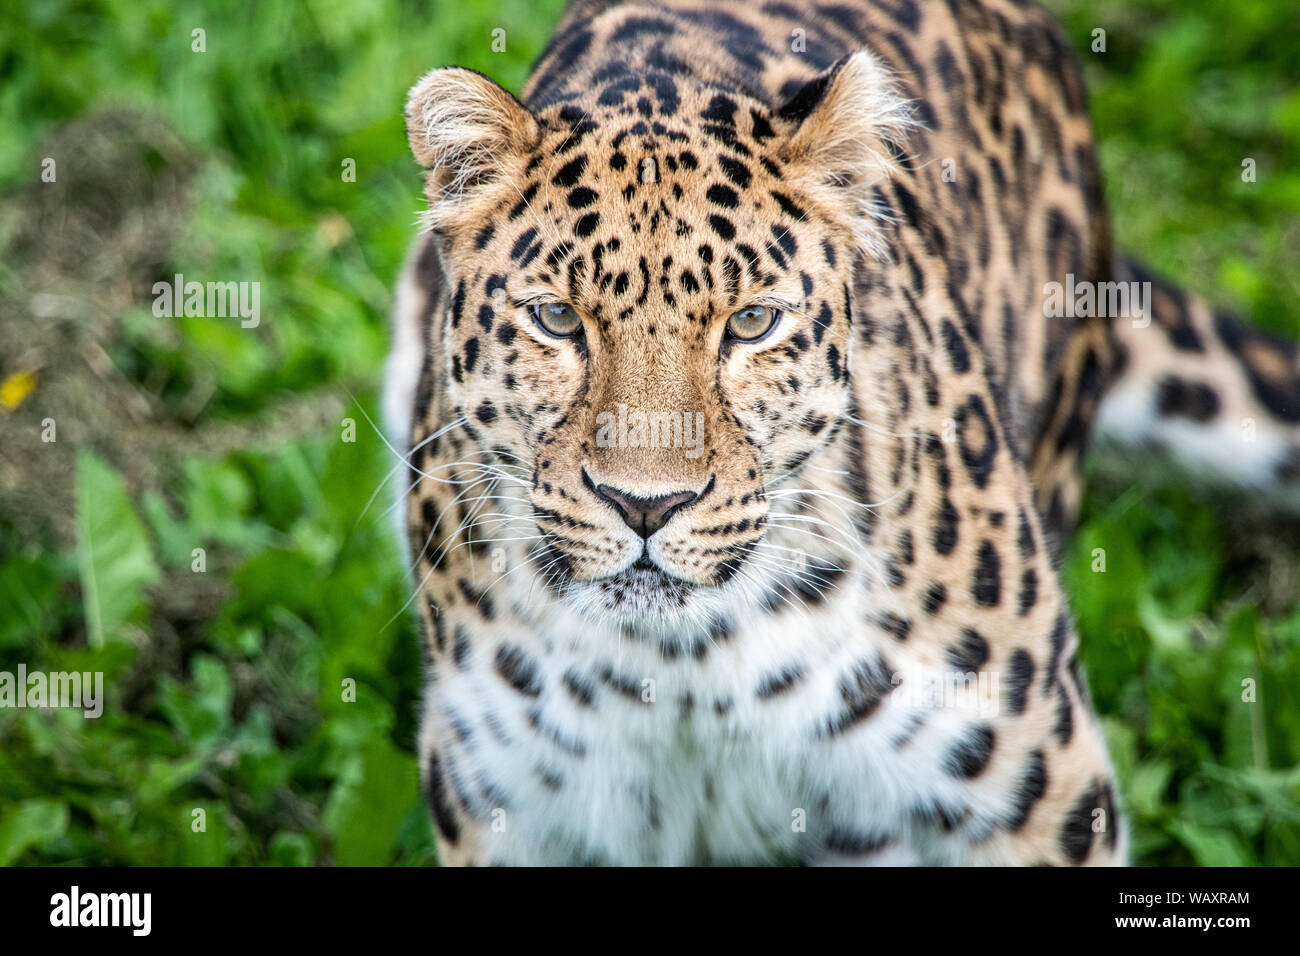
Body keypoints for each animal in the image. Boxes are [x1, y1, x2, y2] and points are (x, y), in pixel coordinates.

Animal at [383, 0, 1300, 865]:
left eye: (751, 322)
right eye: (556, 319)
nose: (646, 506)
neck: (682, 665)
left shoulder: (1038, 786)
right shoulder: (506, 811)